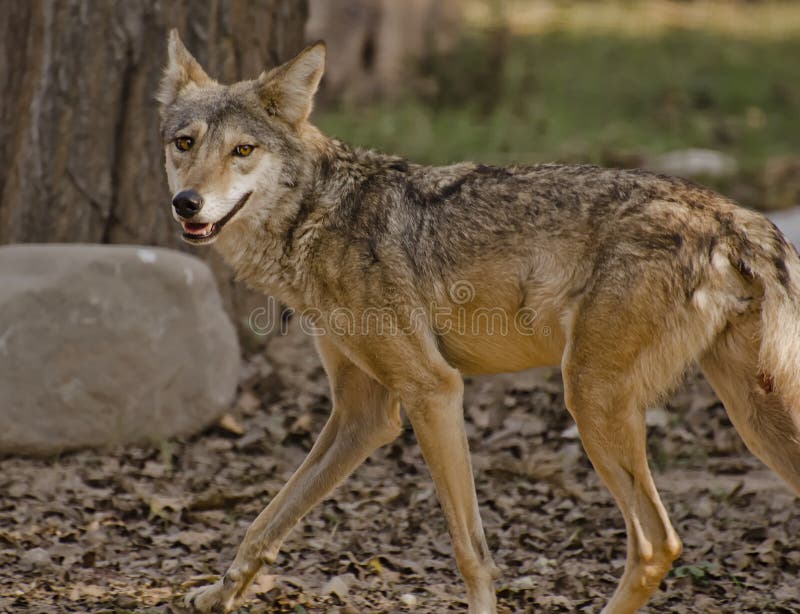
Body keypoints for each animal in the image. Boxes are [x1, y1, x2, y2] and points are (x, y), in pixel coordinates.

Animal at [158, 29, 800, 613]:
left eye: (243, 151)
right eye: (184, 143)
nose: (187, 203)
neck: (318, 217)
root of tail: (734, 216)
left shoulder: (433, 389)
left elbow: (470, 549)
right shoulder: (362, 413)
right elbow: (266, 521)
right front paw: (218, 594)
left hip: (590, 399)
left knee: (655, 545)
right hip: (751, 420)